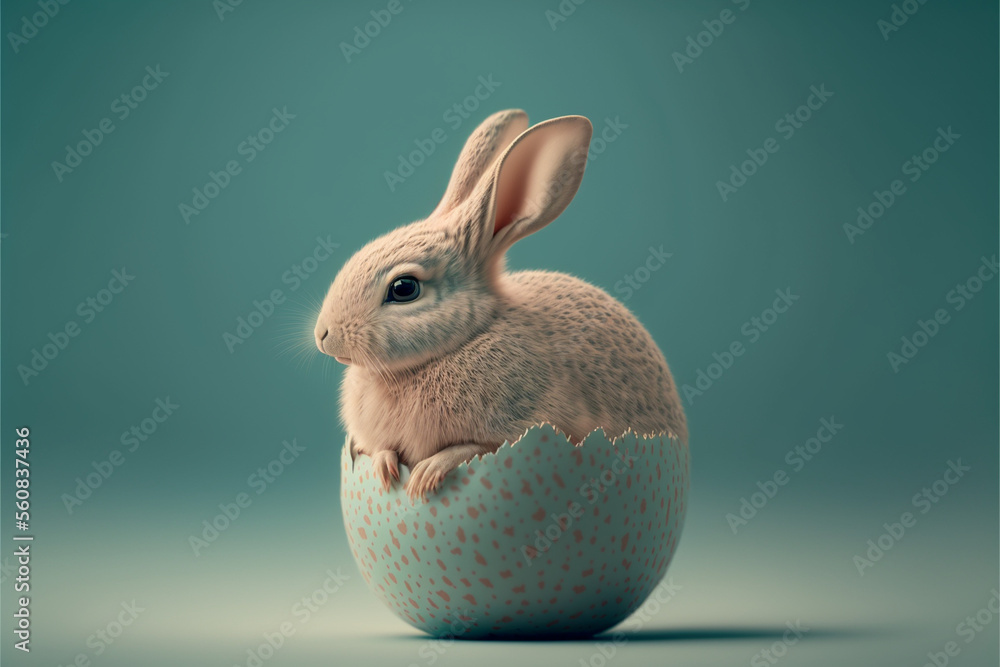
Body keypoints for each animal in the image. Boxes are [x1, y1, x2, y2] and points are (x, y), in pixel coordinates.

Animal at [314, 109, 687, 500]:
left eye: (404, 289)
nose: (323, 336)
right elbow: (375, 448)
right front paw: (384, 467)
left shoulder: (527, 423)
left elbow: (474, 448)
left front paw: (427, 473)